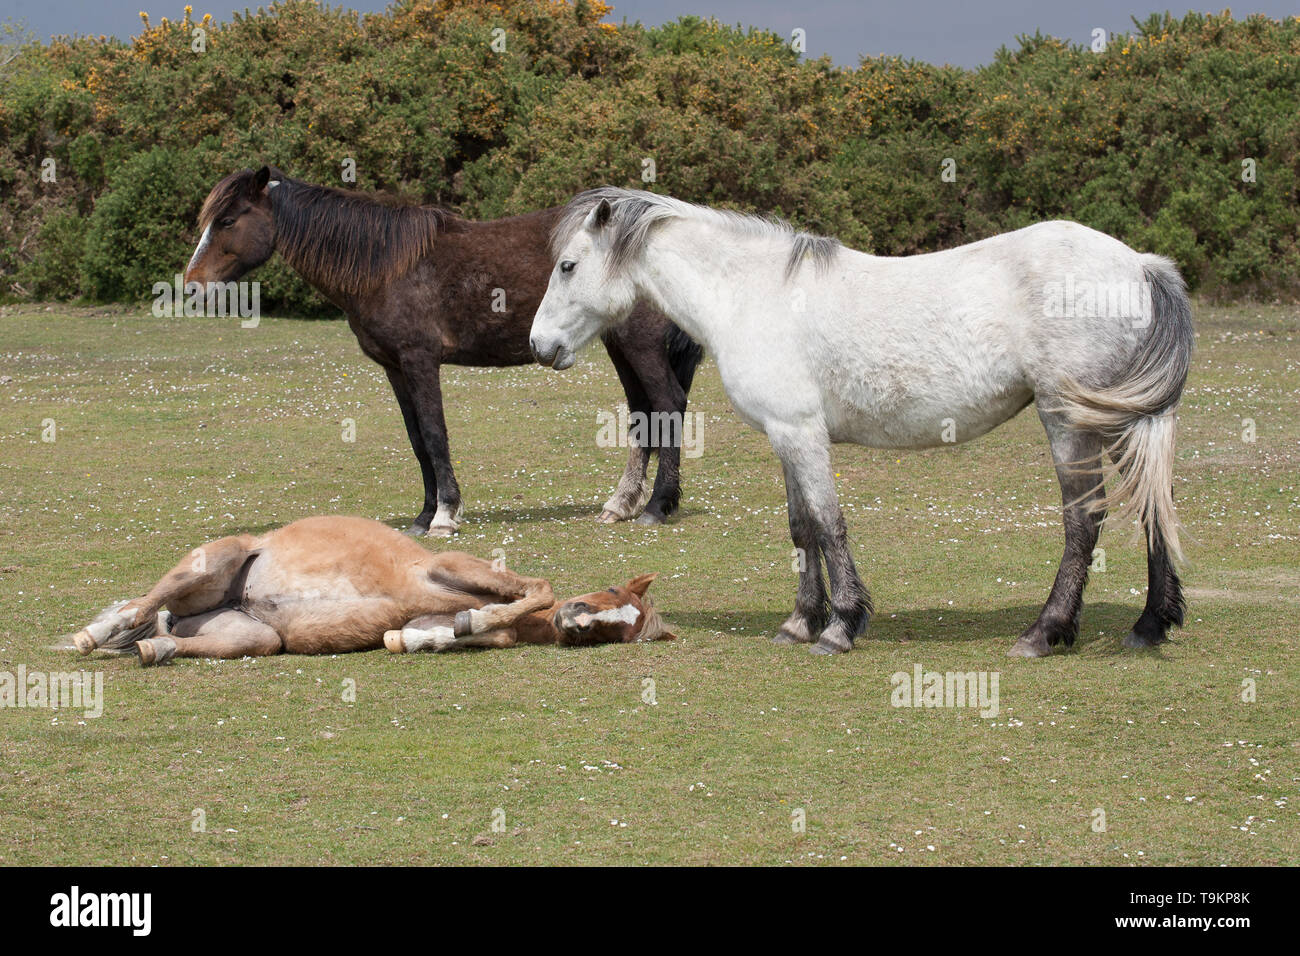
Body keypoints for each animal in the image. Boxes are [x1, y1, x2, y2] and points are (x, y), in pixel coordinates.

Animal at [183, 167, 703, 535]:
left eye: (227, 220)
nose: (190, 287)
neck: (386, 266)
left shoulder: (420, 360)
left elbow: (435, 435)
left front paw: (445, 514)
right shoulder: (394, 368)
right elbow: (417, 440)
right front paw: (424, 514)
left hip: (639, 343)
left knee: (667, 404)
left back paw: (657, 506)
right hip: (620, 344)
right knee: (642, 413)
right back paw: (621, 504)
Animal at [529, 187, 1193, 658]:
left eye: (568, 266)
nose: (539, 345)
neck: (750, 294)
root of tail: (1138, 265)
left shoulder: (801, 432)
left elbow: (829, 525)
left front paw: (841, 625)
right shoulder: (786, 436)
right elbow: (802, 528)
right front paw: (801, 621)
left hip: (1068, 421)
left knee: (1084, 521)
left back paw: (1045, 632)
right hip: (1120, 421)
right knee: (1153, 504)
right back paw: (1150, 625)